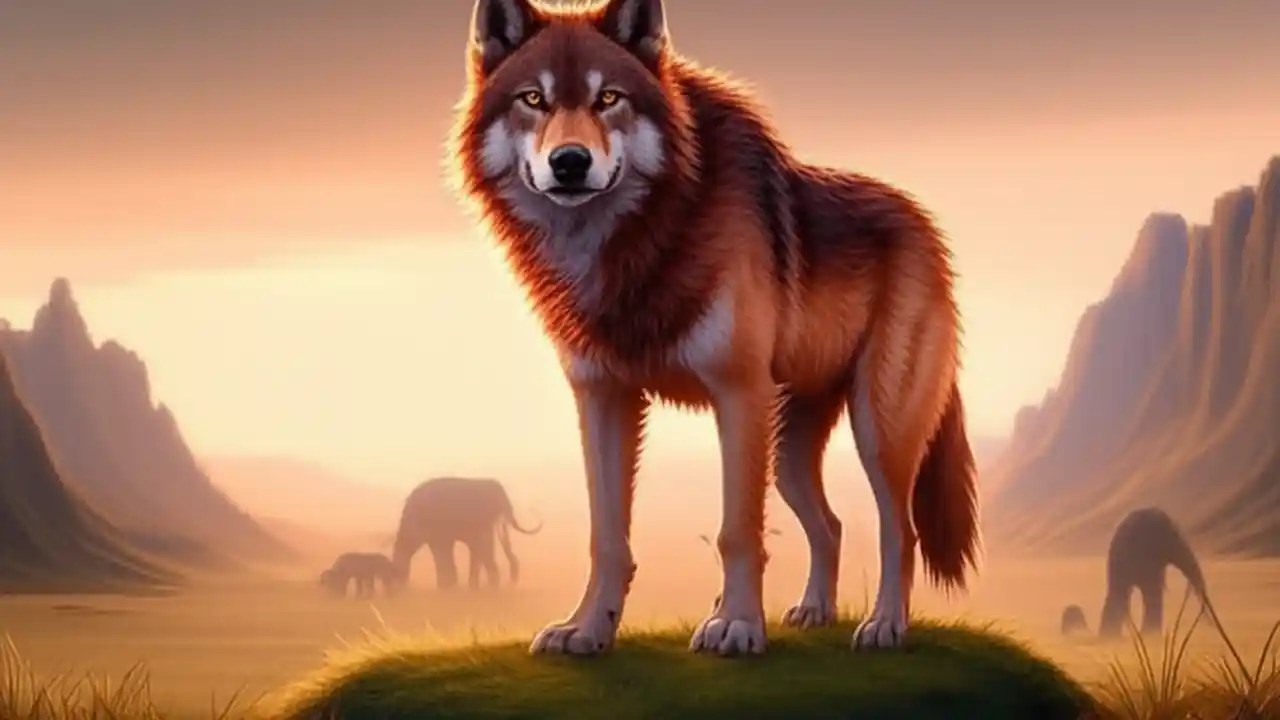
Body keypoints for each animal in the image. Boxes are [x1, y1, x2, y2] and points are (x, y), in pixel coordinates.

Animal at [450, 0, 979, 656]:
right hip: (789, 452)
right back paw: (814, 611)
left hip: (877, 430)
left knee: (898, 530)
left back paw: (884, 625)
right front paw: (588, 629)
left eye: (608, 98)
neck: (636, 243)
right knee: (829, 524)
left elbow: (737, 532)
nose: (570, 162)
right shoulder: (602, 397)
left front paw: (739, 626)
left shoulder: (738, 391)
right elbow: (607, 537)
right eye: (533, 99)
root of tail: (925, 222)